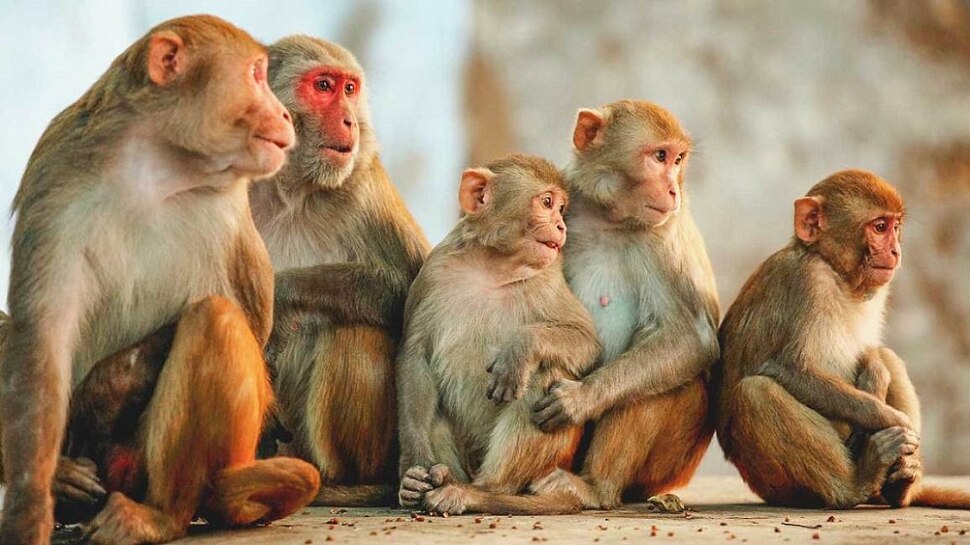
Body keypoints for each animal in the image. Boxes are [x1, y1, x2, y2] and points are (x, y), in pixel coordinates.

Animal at [0, 16, 322, 545]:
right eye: (256, 74)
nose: (285, 115)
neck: (158, 165)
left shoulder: (230, 210)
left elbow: (250, 321)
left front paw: (103, 390)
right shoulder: (57, 176)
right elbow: (41, 341)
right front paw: (29, 510)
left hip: (161, 461)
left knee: (214, 319)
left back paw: (162, 514)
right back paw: (65, 480)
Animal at [247, 36, 430, 507]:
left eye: (350, 89)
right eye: (324, 86)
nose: (349, 121)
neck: (290, 188)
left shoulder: (363, 184)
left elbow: (412, 291)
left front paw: (281, 297)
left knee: (353, 329)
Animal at [396, 154, 601, 515]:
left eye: (561, 209)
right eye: (547, 203)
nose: (561, 226)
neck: (492, 268)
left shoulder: (549, 278)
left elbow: (586, 341)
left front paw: (520, 350)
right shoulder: (433, 272)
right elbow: (415, 356)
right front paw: (414, 469)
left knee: (544, 373)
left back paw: (478, 492)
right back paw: (439, 480)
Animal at [528, 101, 719, 512]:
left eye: (678, 159)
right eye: (660, 156)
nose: (673, 190)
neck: (608, 219)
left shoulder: (663, 237)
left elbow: (691, 339)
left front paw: (580, 399)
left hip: (668, 469)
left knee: (661, 373)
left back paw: (595, 488)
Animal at [714, 169, 970, 510]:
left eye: (895, 227)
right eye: (879, 227)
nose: (895, 251)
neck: (835, 272)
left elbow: (873, 352)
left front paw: (876, 373)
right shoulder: (809, 281)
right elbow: (791, 368)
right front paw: (889, 417)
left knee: (891, 358)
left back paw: (900, 484)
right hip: (775, 485)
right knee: (755, 392)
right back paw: (857, 482)